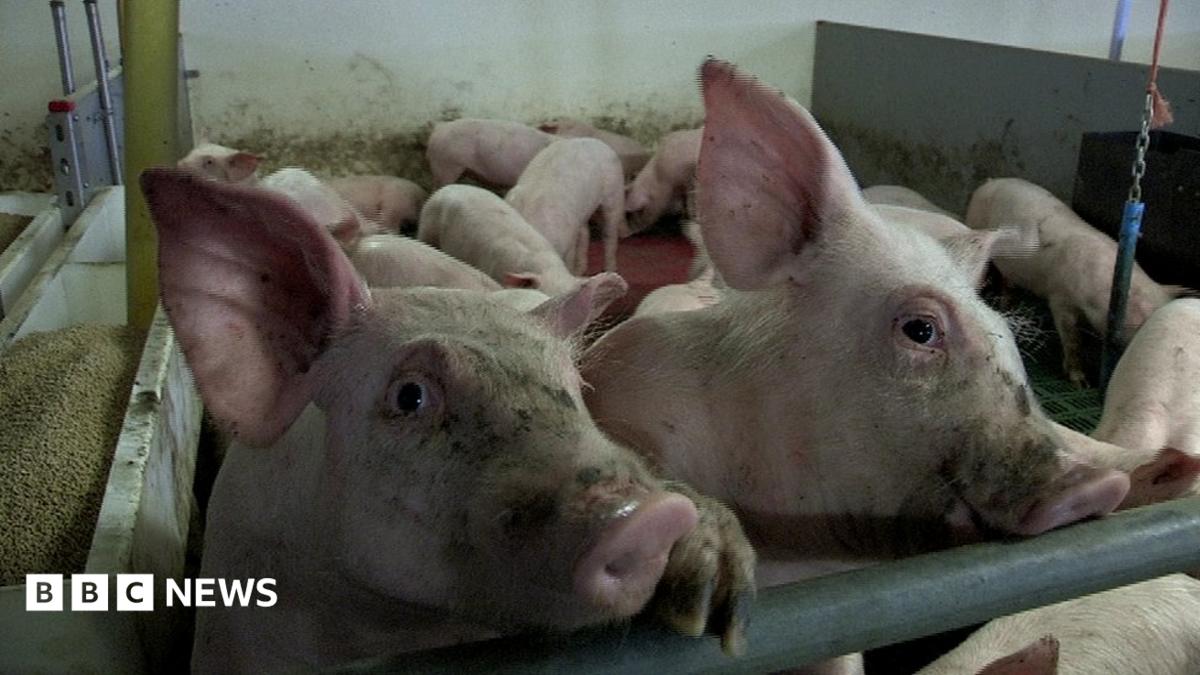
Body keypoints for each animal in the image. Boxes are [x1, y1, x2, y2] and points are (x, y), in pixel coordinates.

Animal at [505, 137, 627, 274]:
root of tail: (599, 142)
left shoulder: (568, 241)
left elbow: (569, 260)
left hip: (615, 191)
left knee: (610, 232)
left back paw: (610, 270)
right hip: (582, 210)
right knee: (585, 232)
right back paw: (581, 270)